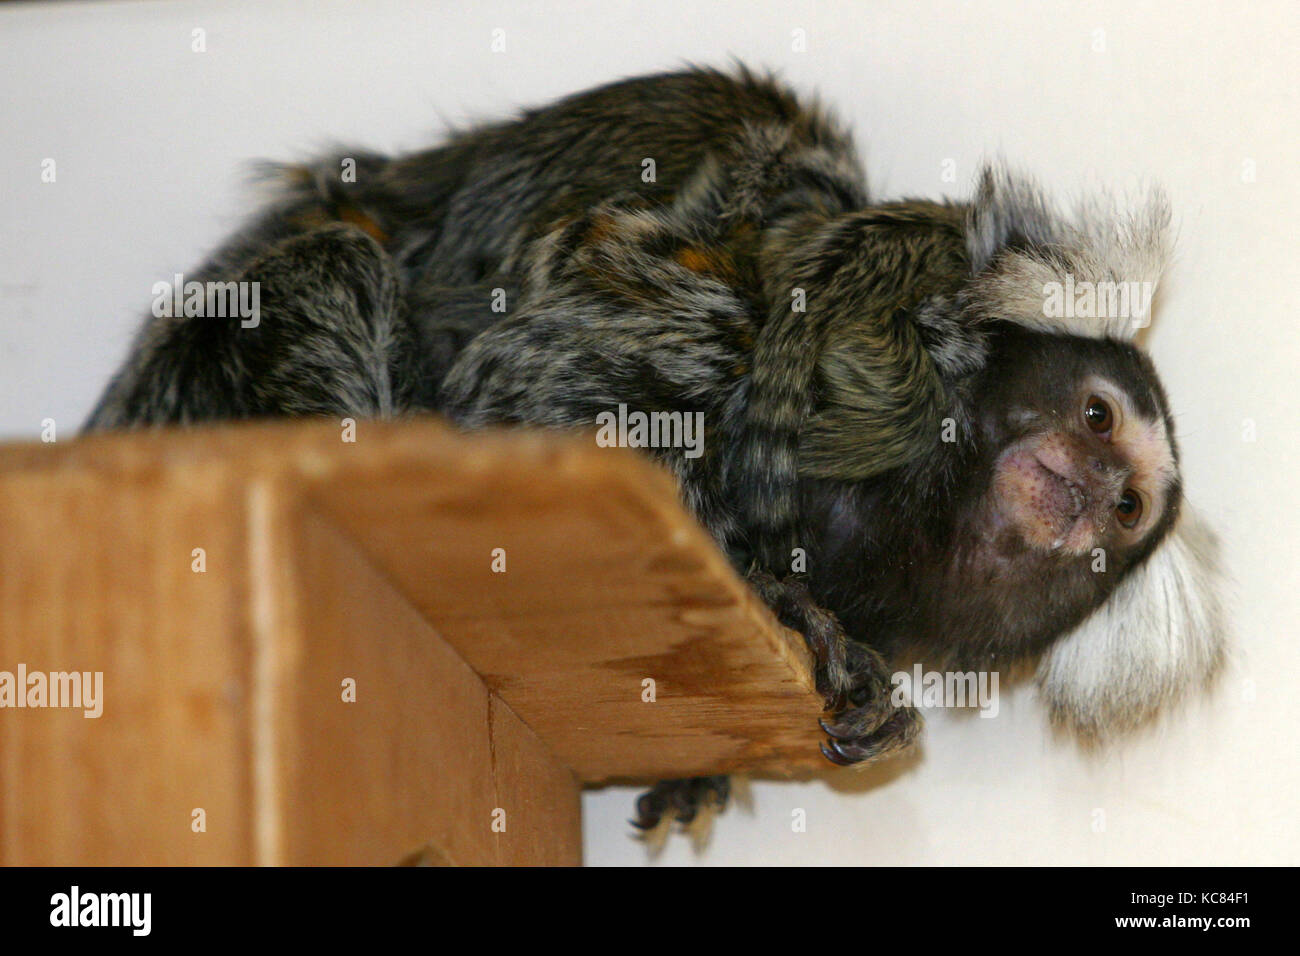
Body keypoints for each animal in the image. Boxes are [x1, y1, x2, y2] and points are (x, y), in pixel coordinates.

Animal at [84, 66, 1224, 831]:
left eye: (1130, 510)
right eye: (1095, 417)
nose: (1095, 488)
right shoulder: (747, 340)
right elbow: (524, 387)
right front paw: (780, 606)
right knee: (337, 269)